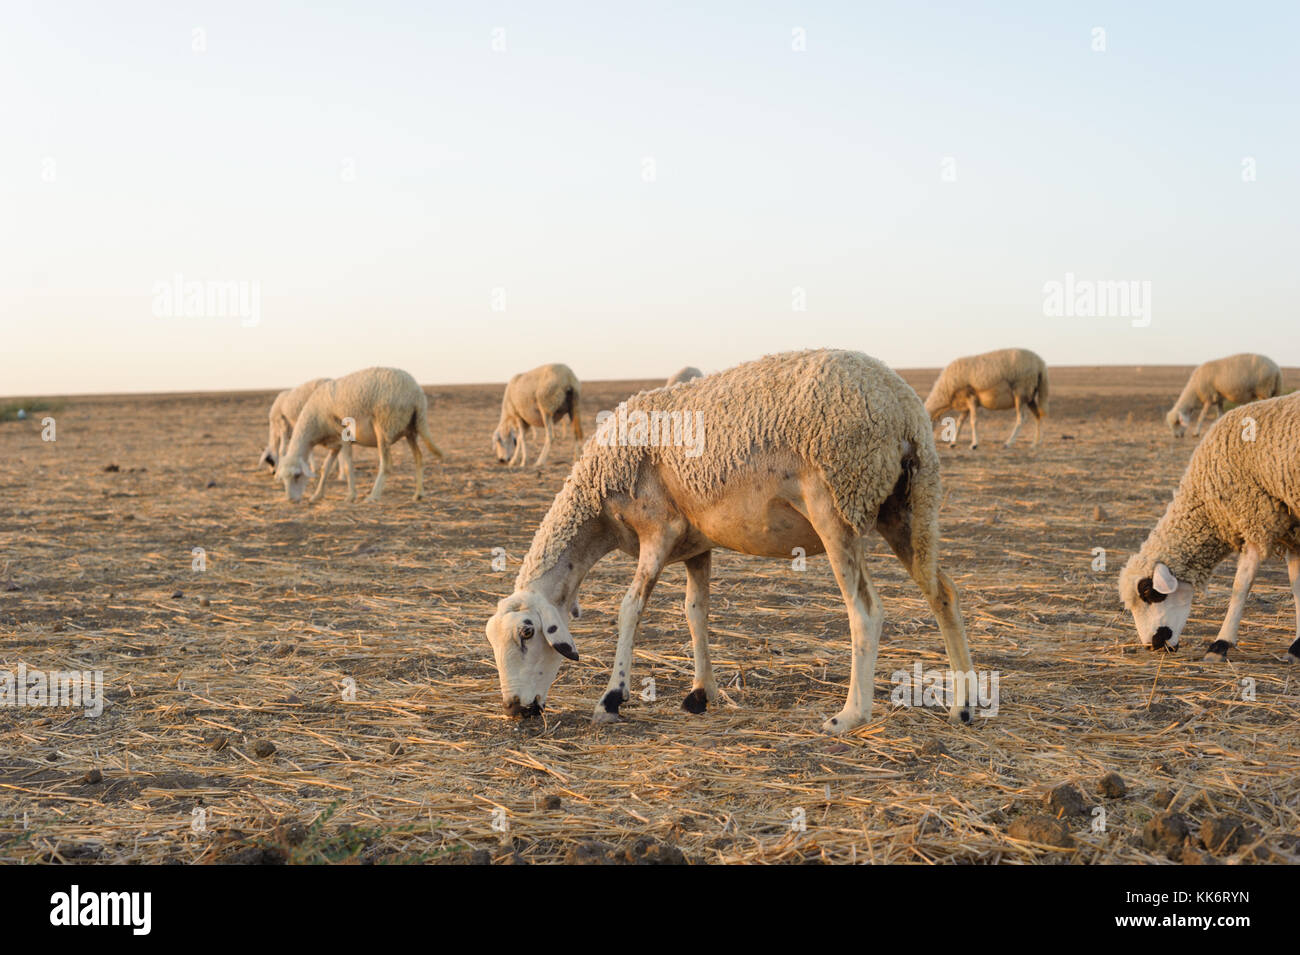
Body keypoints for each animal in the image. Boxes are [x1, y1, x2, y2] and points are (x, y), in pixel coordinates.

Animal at [274, 367, 444, 503]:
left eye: (297, 476)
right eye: (283, 479)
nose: (290, 500)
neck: (314, 424)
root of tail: (417, 395)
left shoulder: (344, 436)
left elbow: (347, 466)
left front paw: (351, 496)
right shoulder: (335, 444)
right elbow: (325, 468)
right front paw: (317, 495)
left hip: (384, 425)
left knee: (386, 464)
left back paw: (373, 496)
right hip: (410, 429)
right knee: (419, 457)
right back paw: (418, 494)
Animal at [484, 349, 978, 735]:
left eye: (527, 633)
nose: (513, 711)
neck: (597, 502)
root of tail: (904, 410)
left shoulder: (659, 530)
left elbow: (630, 609)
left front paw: (612, 698)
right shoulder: (695, 544)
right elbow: (695, 612)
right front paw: (702, 692)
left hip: (836, 506)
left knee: (866, 611)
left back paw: (850, 715)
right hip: (908, 508)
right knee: (944, 595)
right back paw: (964, 706)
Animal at [1119, 390, 1300, 661]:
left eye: (1150, 592)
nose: (1152, 646)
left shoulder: (1254, 513)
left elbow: (1241, 584)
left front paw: (1220, 644)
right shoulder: (1290, 524)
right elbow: (1296, 584)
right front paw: (1297, 647)